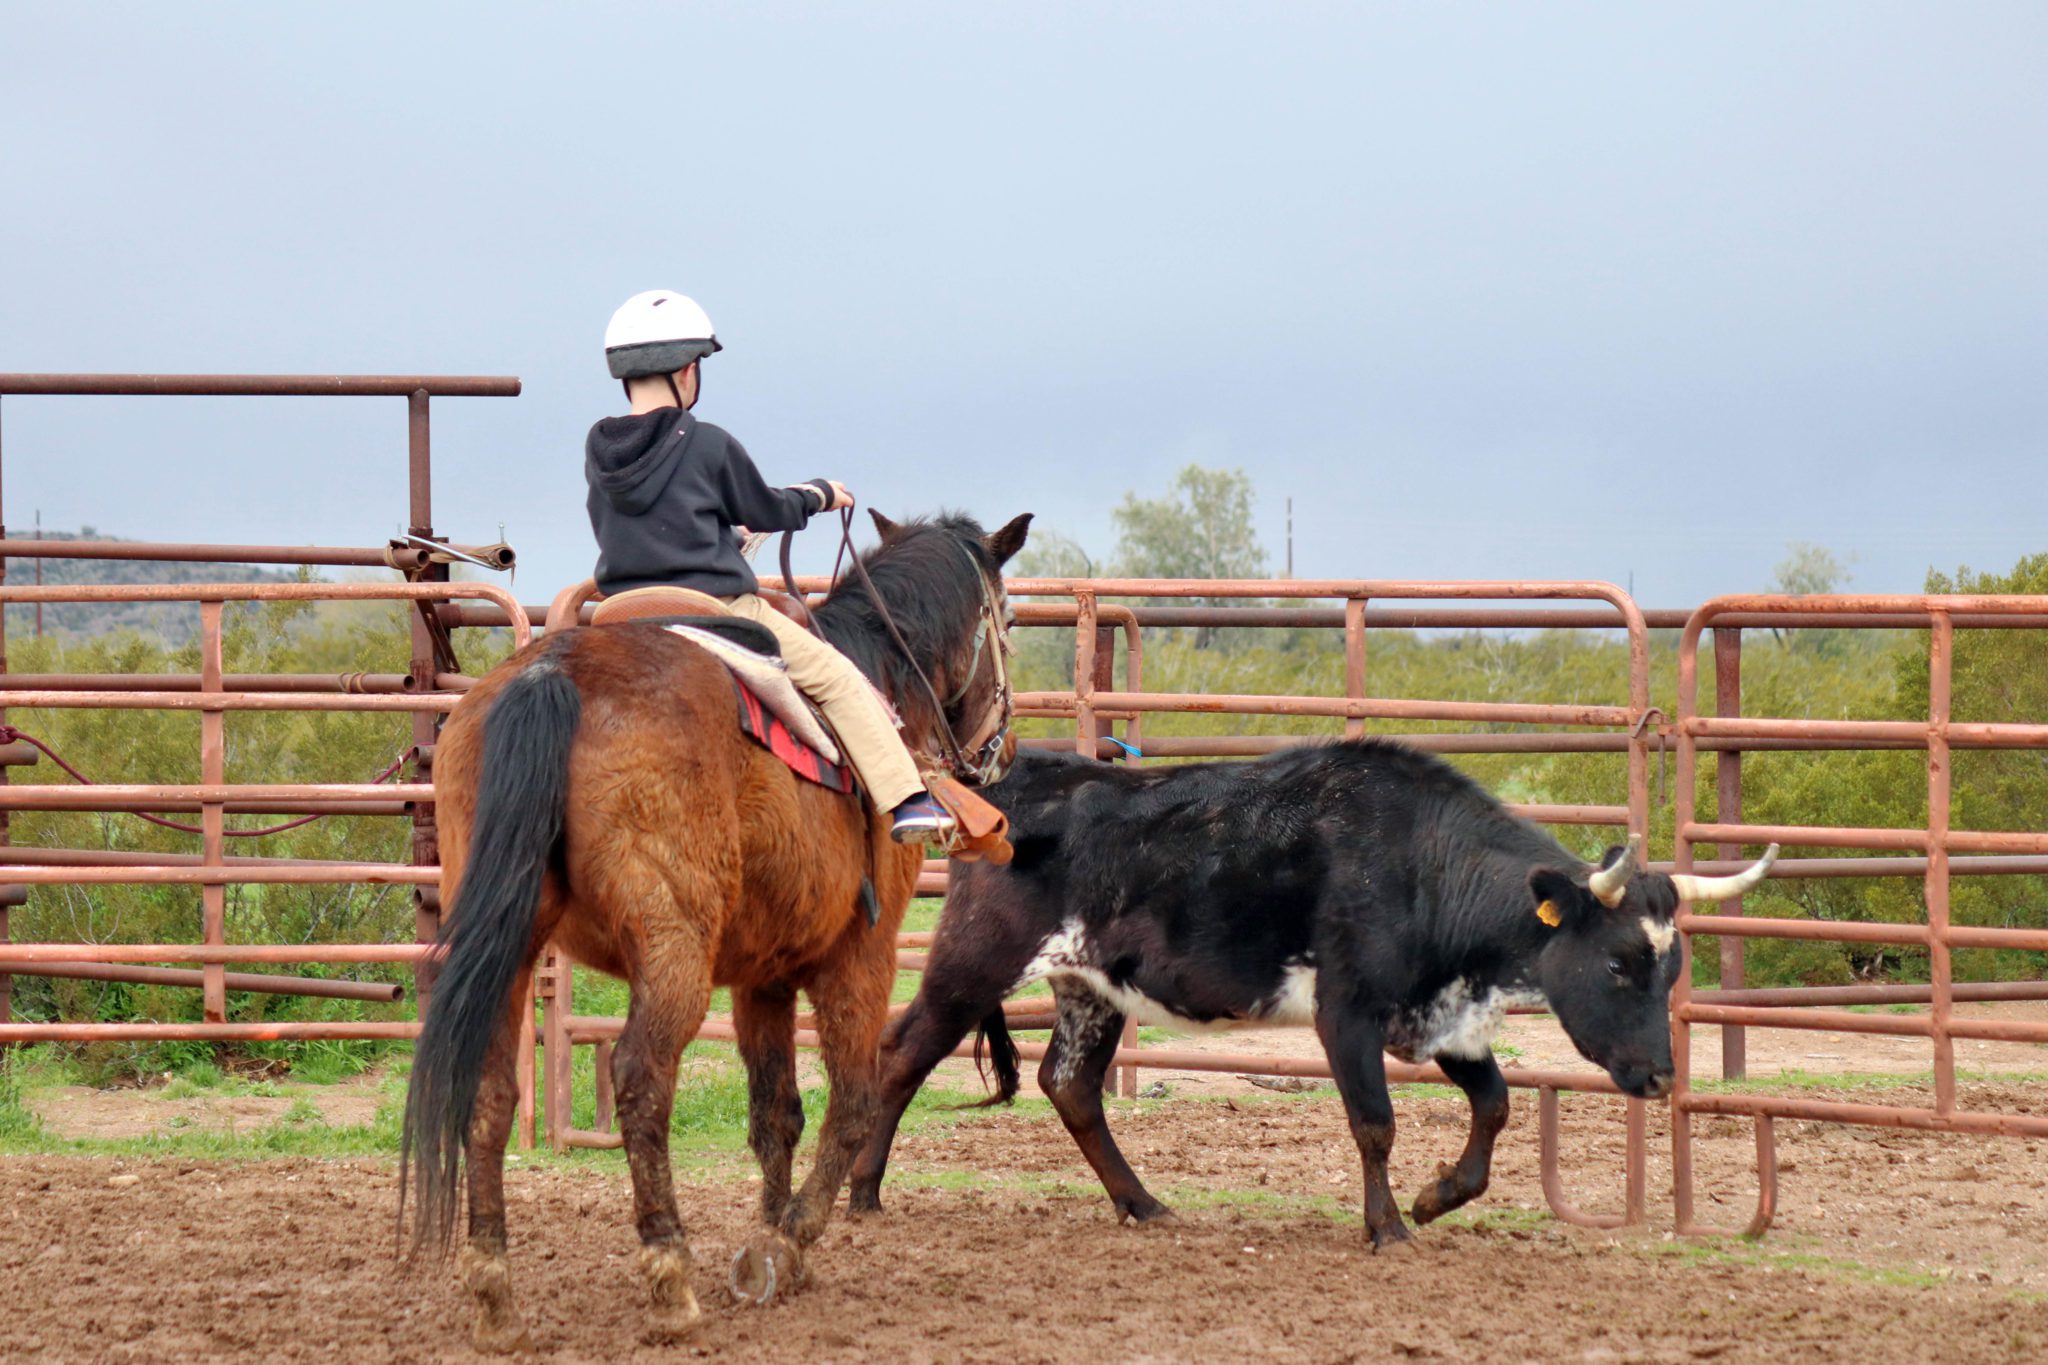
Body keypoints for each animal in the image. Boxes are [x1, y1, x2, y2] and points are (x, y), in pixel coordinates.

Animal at [400, 508, 1030, 1351]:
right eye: (1009, 622)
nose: (1004, 748)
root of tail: (553, 671)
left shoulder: (764, 976)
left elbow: (776, 1114)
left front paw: (776, 1240)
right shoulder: (860, 955)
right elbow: (853, 1100)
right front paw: (787, 1239)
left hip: (508, 943)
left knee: (491, 1091)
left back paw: (496, 1296)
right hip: (673, 948)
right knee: (639, 1075)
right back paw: (670, 1277)